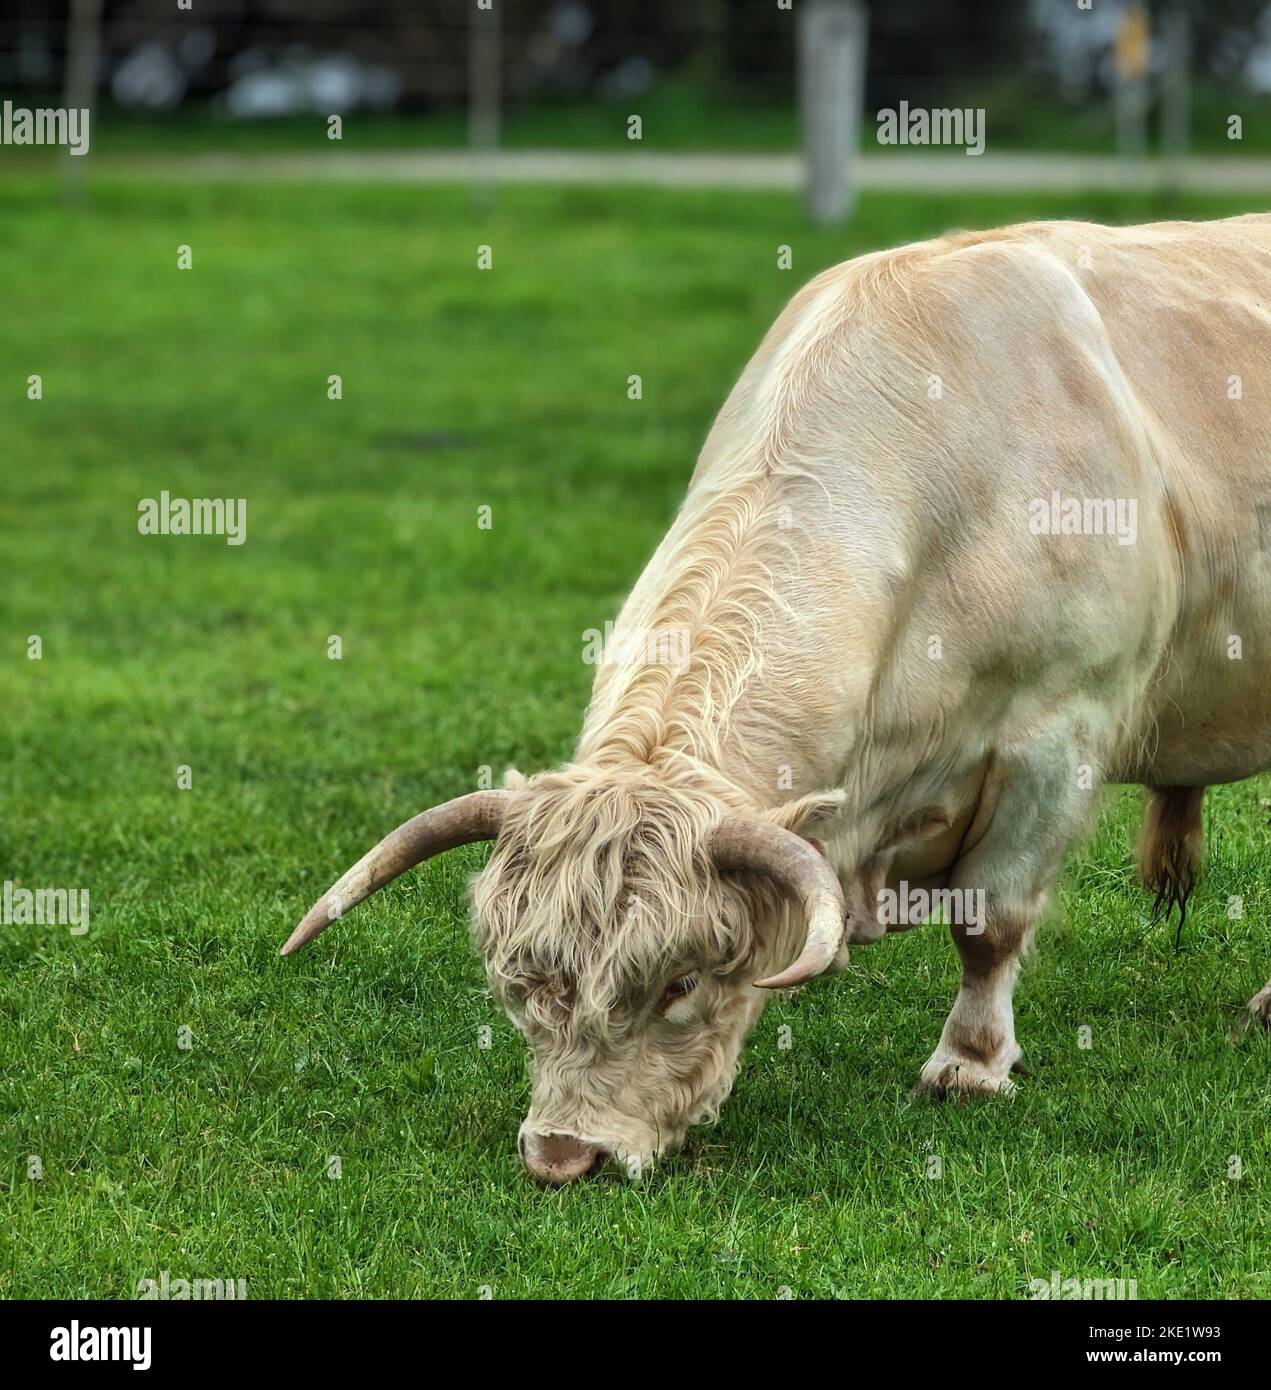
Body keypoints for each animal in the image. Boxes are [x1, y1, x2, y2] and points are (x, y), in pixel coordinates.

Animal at [284, 213, 1271, 1183]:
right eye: (522, 984)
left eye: (681, 982)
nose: (564, 1155)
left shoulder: (1055, 734)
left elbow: (990, 922)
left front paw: (971, 1064)